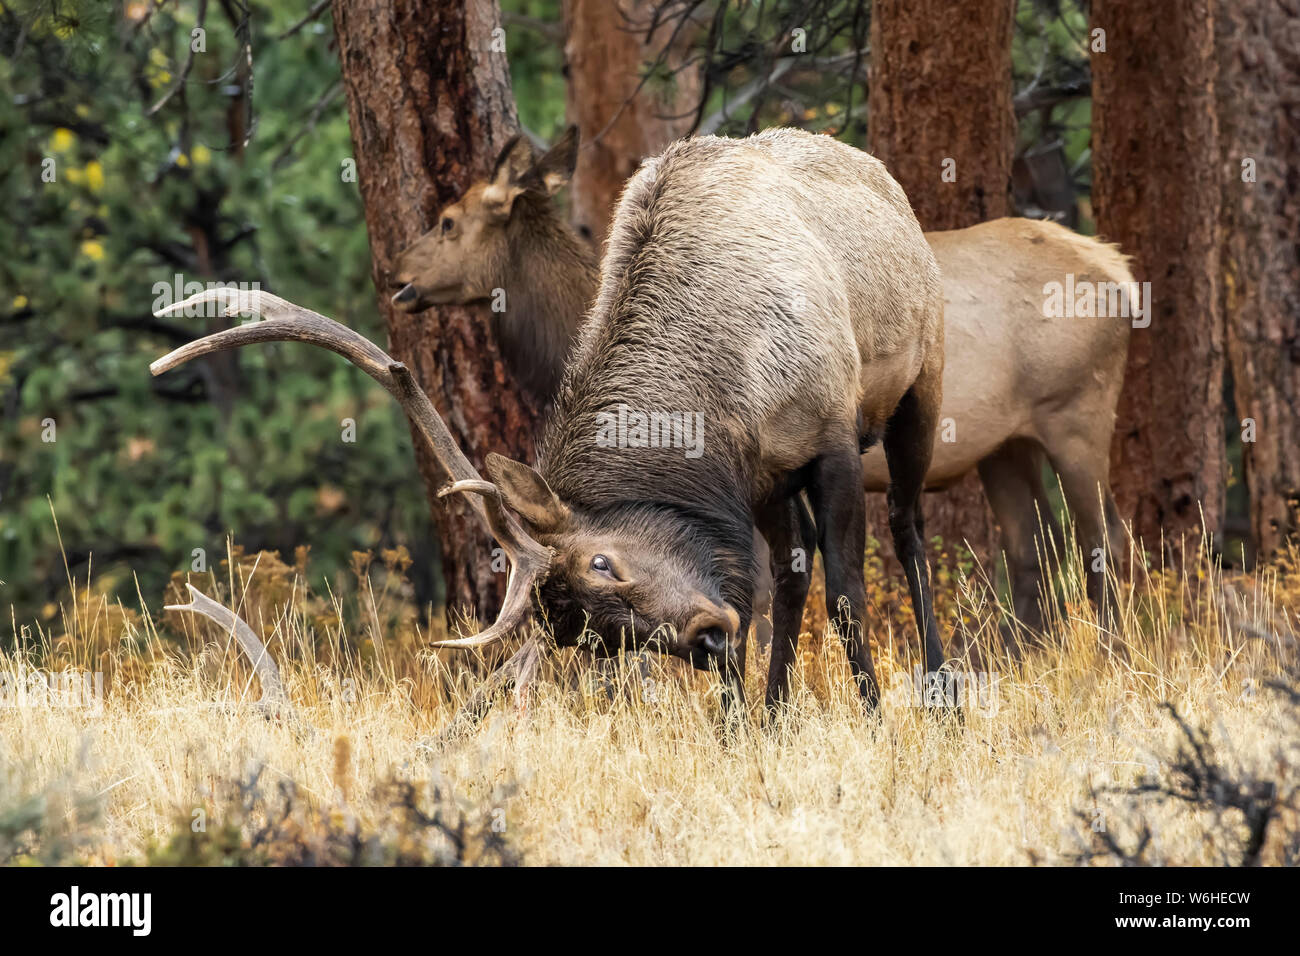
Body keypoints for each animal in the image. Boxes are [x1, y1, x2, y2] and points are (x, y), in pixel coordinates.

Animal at [153, 127, 949, 719]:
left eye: (603, 561)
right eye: (596, 639)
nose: (701, 640)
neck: (722, 388)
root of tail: (874, 167)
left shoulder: (829, 434)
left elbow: (846, 592)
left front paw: (874, 719)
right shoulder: (747, 483)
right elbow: (762, 591)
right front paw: (743, 729)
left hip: (922, 384)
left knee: (908, 528)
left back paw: (943, 696)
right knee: (792, 576)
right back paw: (780, 711)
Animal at [388, 127, 1133, 667]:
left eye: (448, 220)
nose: (396, 274)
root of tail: (1123, 271)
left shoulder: (827, 445)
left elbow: (827, 594)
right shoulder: (756, 479)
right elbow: (761, 593)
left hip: (1046, 411)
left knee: (1095, 541)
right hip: (1008, 448)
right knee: (1032, 558)